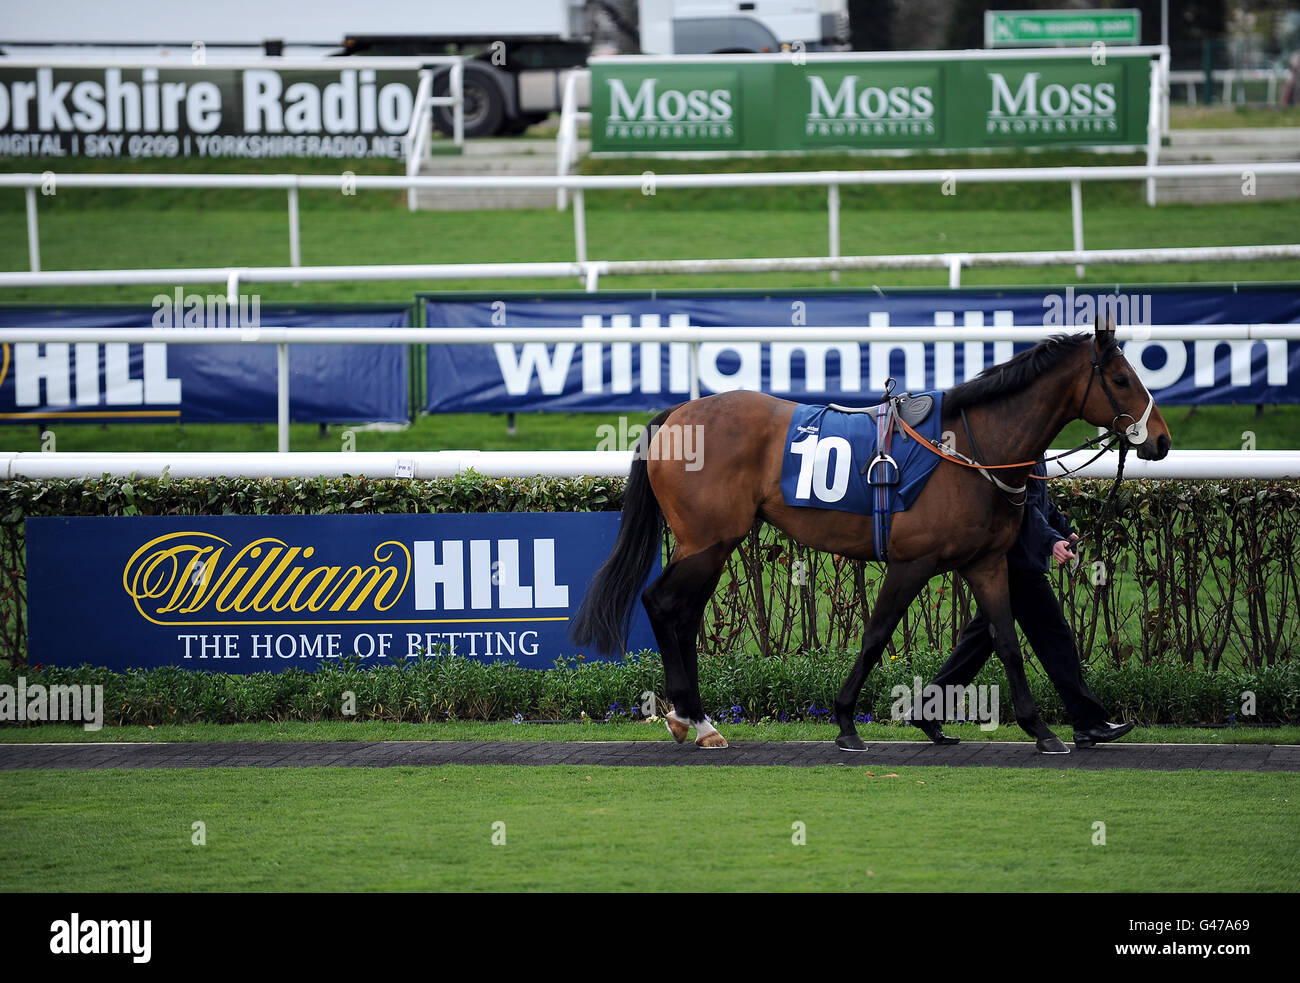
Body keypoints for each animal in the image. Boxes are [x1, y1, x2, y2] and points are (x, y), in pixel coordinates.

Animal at [571, 321, 1172, 753]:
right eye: (1122, 378)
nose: (1161, 440)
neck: (970, 449)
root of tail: (677, 414)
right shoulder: (913, 561)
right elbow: (877, 635)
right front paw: (846, 724)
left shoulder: (986, 562)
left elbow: (1006, 640)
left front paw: (1042, 731)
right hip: (708, 541)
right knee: (661, 602)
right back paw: (694, 720)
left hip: (710, 546)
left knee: (682, 613)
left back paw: (693, 719)